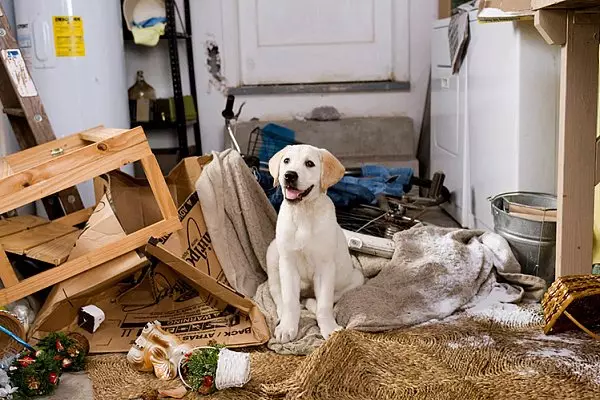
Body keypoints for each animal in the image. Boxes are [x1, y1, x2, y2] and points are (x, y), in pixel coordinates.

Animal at [268, 145, 366, 342]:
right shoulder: (288, 264)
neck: (303, 213)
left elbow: (325, 304)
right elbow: (290, 300)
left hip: (356, 277)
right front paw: (288, 327)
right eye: (286, 161)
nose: (289, 175)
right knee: (278, 294)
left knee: (324, 298)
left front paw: (329, 327)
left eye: (309, 164)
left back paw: (310, 302)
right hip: (273, 256)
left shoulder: (325, 267)